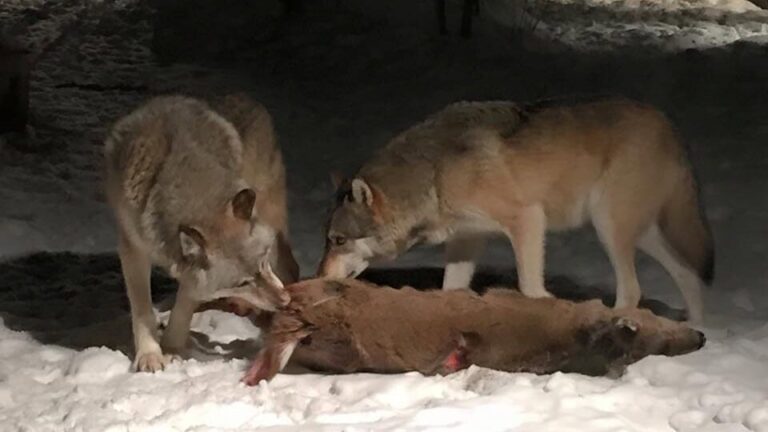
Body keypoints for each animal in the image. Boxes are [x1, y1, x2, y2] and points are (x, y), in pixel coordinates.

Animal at [104, 94, 298, 372]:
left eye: (261, 264)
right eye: (243, 283)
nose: (284, 301)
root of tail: (244, 96)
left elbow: (182, 310)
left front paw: (172, 349)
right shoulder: (133, 248)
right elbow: (142, 310)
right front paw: (150, 355)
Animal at [318, 97, 714, 323]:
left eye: (338, 240)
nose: (317, 277)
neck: (434, 176)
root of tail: (668, 124)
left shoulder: (528, 219)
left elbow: (529, 287)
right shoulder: (466, 241)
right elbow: (450, 291)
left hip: (609, 227)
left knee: (632, 291)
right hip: (638, 233)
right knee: (688, 273)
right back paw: (695, 327)